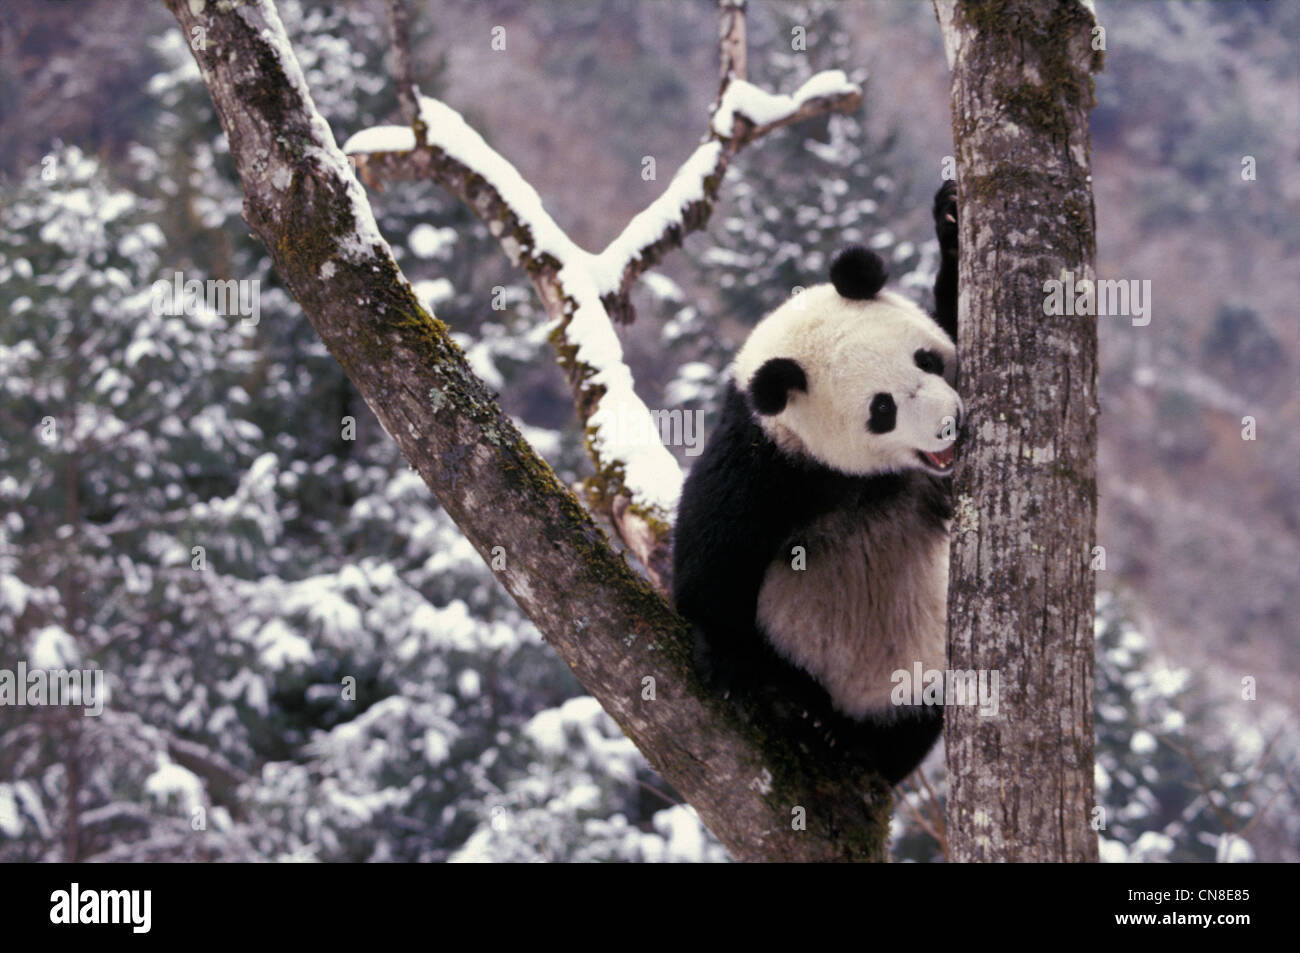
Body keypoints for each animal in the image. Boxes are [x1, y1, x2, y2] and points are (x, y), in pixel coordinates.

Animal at [672, 182, 961, 785]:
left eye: (926, 360)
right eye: (882, 409)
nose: (950, 424)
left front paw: (950, 219)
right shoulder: (765, 465)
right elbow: (712, 559)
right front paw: (724, 661)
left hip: (920, 661)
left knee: (920, 712)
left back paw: (866, 747)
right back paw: (811, 713)